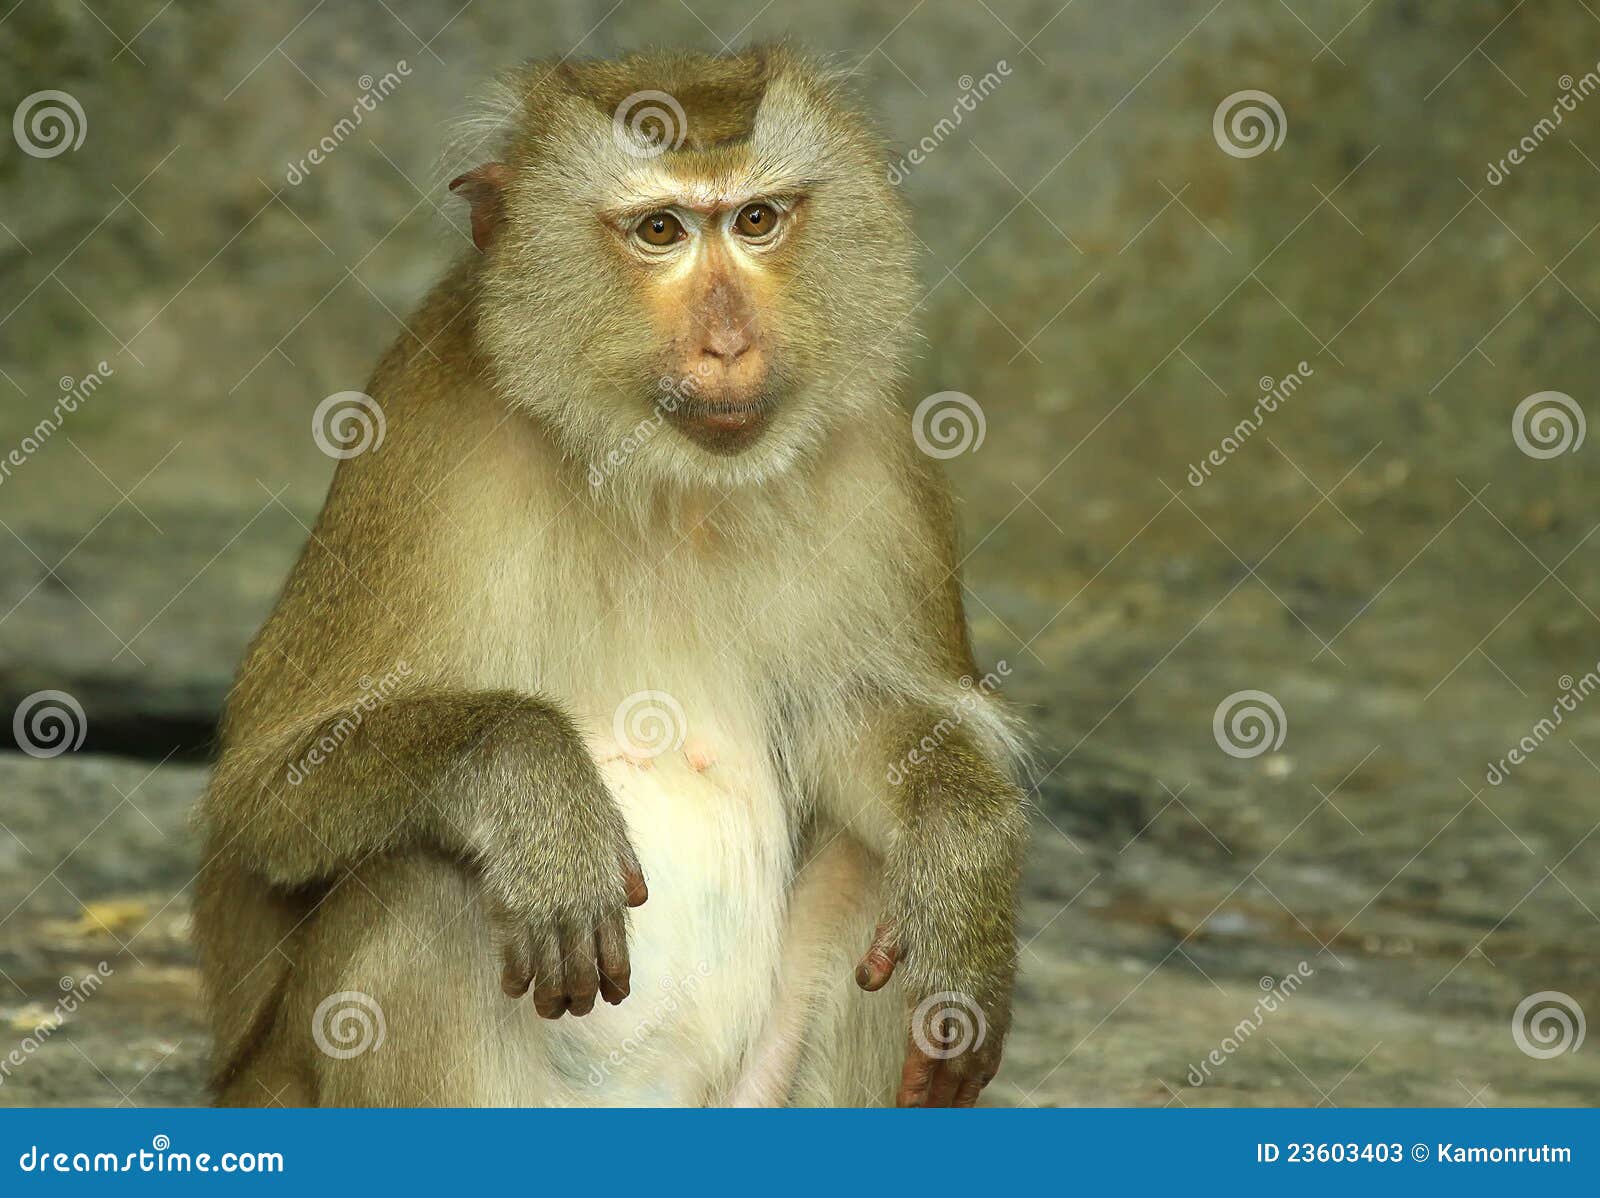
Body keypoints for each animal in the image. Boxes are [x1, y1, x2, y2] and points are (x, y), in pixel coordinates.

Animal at [193, 45, 1028, 1108]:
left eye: (757, 219)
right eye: (660, 230)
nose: (729, 344)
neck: (663, 482)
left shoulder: (875, 456)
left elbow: (871, 717)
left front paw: (964, 854)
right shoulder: (424, 435)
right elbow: (266, 793)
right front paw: (528, 777)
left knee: (884, 868)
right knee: (428, 889)